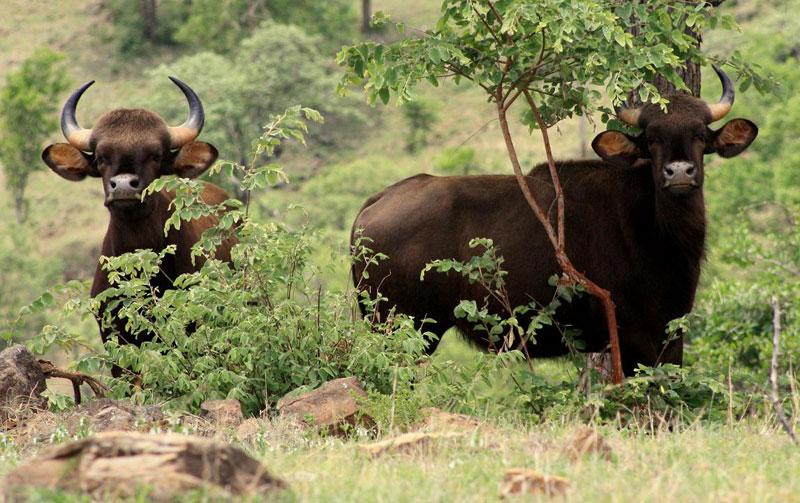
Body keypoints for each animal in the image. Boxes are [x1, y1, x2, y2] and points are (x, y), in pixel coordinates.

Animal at [351, 67, 758, 375]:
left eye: (700, 135)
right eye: (651, 138)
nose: (679, 173)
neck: (656, 232)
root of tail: (376, 203)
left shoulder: (669, 329)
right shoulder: (636, 332)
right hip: (404, 326)